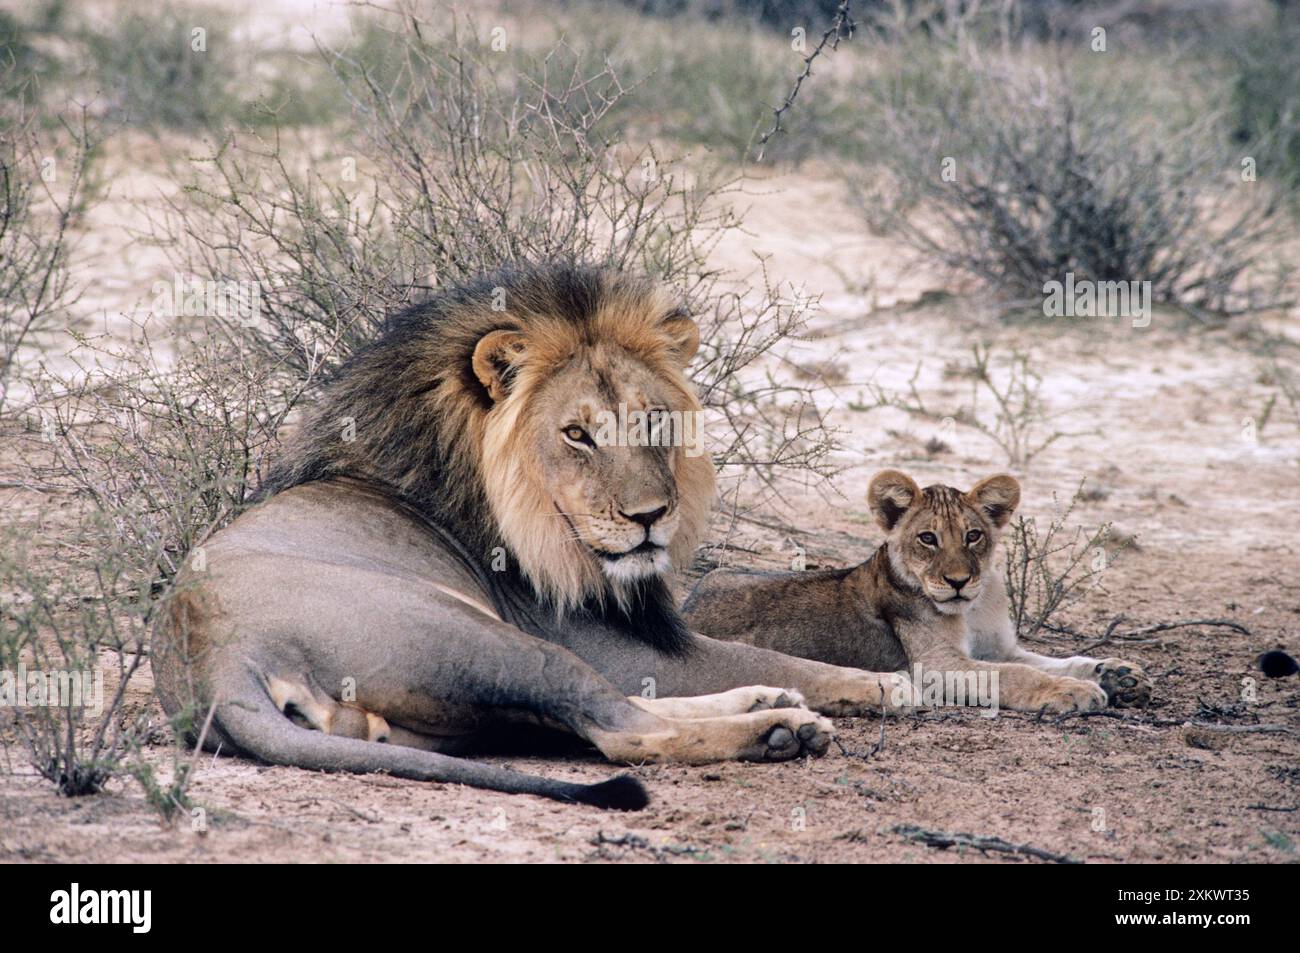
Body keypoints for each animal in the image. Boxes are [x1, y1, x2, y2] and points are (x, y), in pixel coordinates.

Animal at [153, 264, 913, 811]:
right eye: (577, 434)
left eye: (653, 421)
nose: (650, 516)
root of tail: (214, 661)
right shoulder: (592, 634)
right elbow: (788, 658)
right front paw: (902, 684)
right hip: (493, 639)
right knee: (624, 728)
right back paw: (779, 730)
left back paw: (765, 706)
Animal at [682, 470, 1153, 713]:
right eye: (928, 539)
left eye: (973, 536)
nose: (958, 581)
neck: (976, 606)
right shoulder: (939, 667)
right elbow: (1017, 675)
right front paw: (1074, 692)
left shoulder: (999, 648)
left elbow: (1058, 661)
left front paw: (1118, 674)